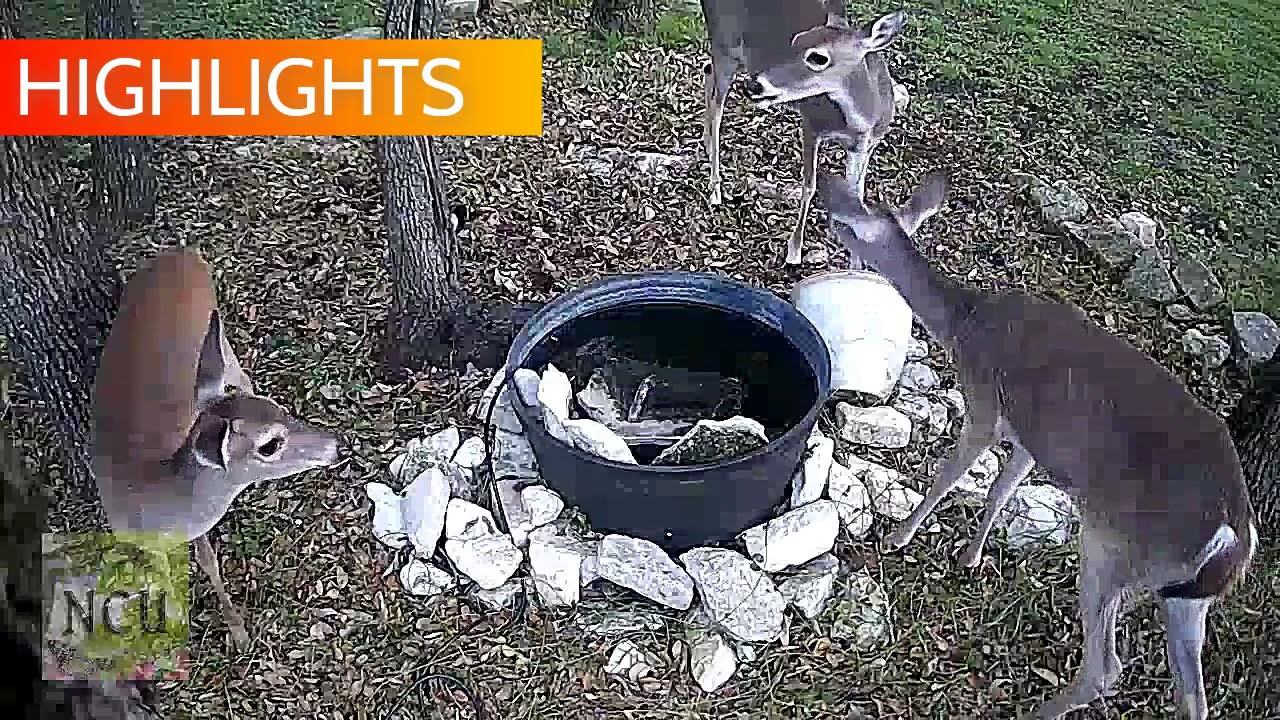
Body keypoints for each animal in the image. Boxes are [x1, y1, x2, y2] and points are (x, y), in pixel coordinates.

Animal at [91, 247, 342, 650]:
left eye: (281, 409)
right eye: (269, 444)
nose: (336, 446)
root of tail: (179, 250)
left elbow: (208, 560)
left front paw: (238, 632)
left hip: (219, 341)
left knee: (242, 375)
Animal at [699, 0, 906, 266]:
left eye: (818, 57)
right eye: (797, 40)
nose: (755, 85)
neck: (862, 122)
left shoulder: (867, 144)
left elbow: (857, 196)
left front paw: (856, 262)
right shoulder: (811, 124)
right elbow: (809, 186)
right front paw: (794, 252)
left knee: (707, 73)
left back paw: (706, 143)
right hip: (724, 44)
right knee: (717, 107)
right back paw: (715, 191)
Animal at [816, 170, 1258, 720]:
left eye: (847, 224)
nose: (828, 199)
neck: (965, 319)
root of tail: (1235, 535)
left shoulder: (984, 398)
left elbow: (948, 475)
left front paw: (899, 537)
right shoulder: (1032, 434)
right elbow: (1000, 489)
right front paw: (970, 557)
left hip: (1114, 545)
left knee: (1105, 667)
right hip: (1185, 597)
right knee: (1193, 696)